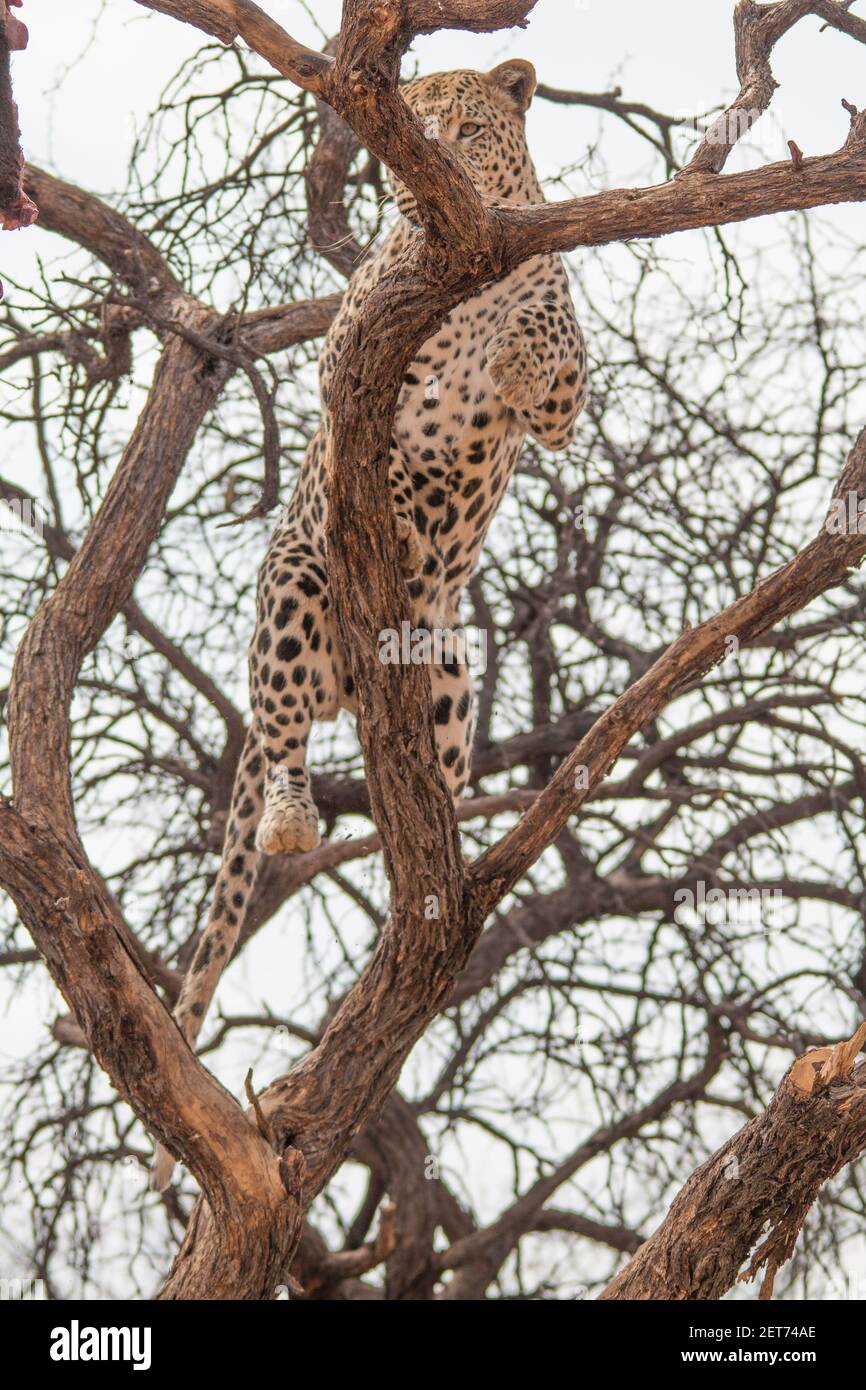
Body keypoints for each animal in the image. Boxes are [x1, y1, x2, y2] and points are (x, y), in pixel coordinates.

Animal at [151, 60, 588, 1188]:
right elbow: (372, 392)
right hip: (298, 588)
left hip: (447, 663)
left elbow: (546, 344)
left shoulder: (563, 398)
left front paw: (510, 340)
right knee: (280, 733)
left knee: (422, 787)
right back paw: (293, 816)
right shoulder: (359, 354)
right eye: (411, 124)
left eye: (465, 128)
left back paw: (436, 866)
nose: (417, 177)